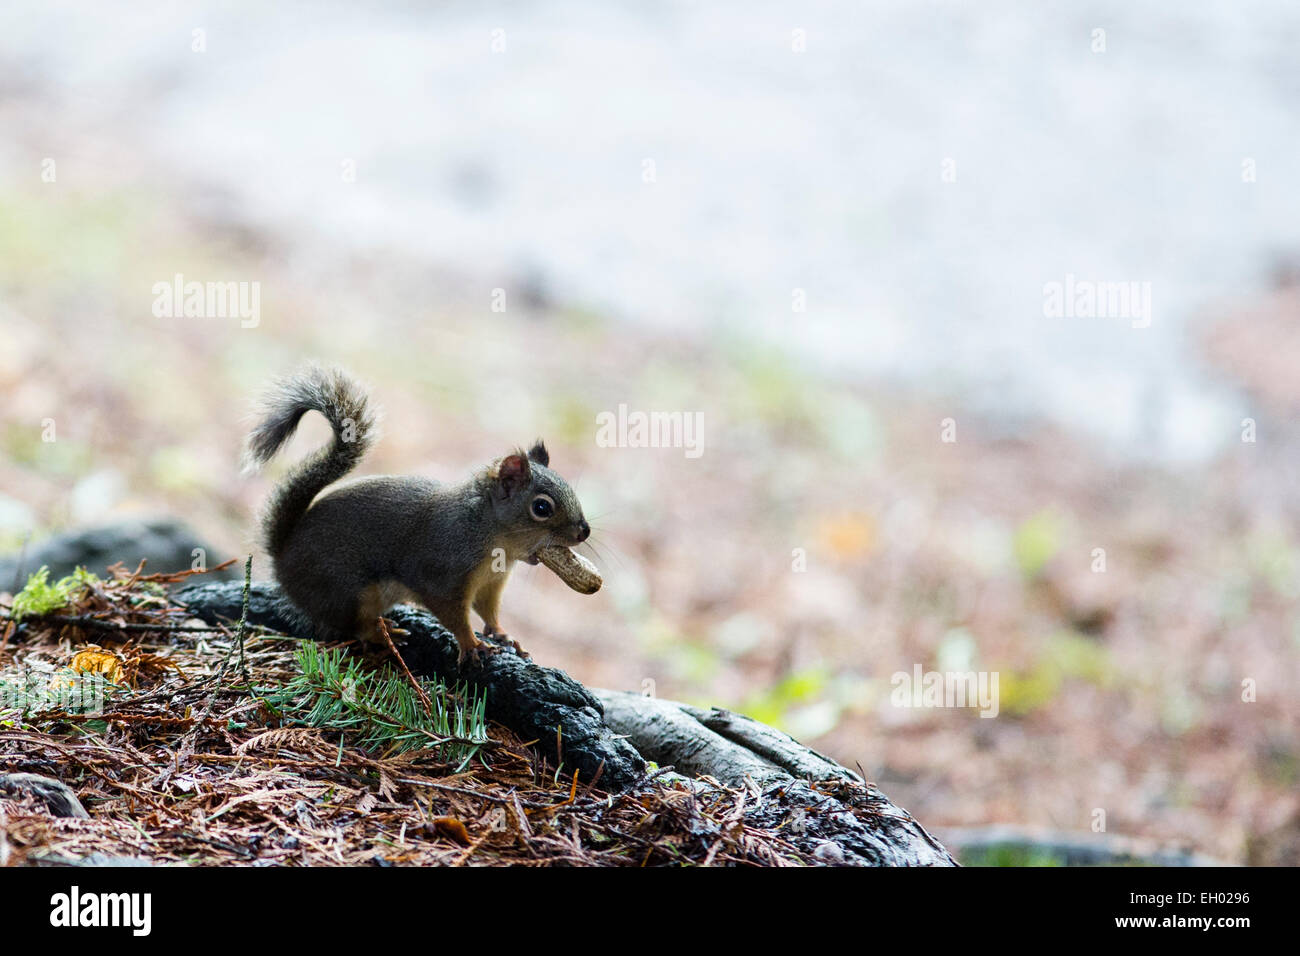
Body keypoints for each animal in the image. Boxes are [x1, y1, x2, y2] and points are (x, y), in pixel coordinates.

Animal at [242, 364, 592, 663]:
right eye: (542, 507)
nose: (584, 531)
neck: (493, 539)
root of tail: (281, 558)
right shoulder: (442, 573)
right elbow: (452, 613)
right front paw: (471, 644)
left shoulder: (490, 584)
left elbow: (488, 610)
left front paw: (503, 635)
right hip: (347, 590)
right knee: (353, 625)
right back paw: (382, 634)